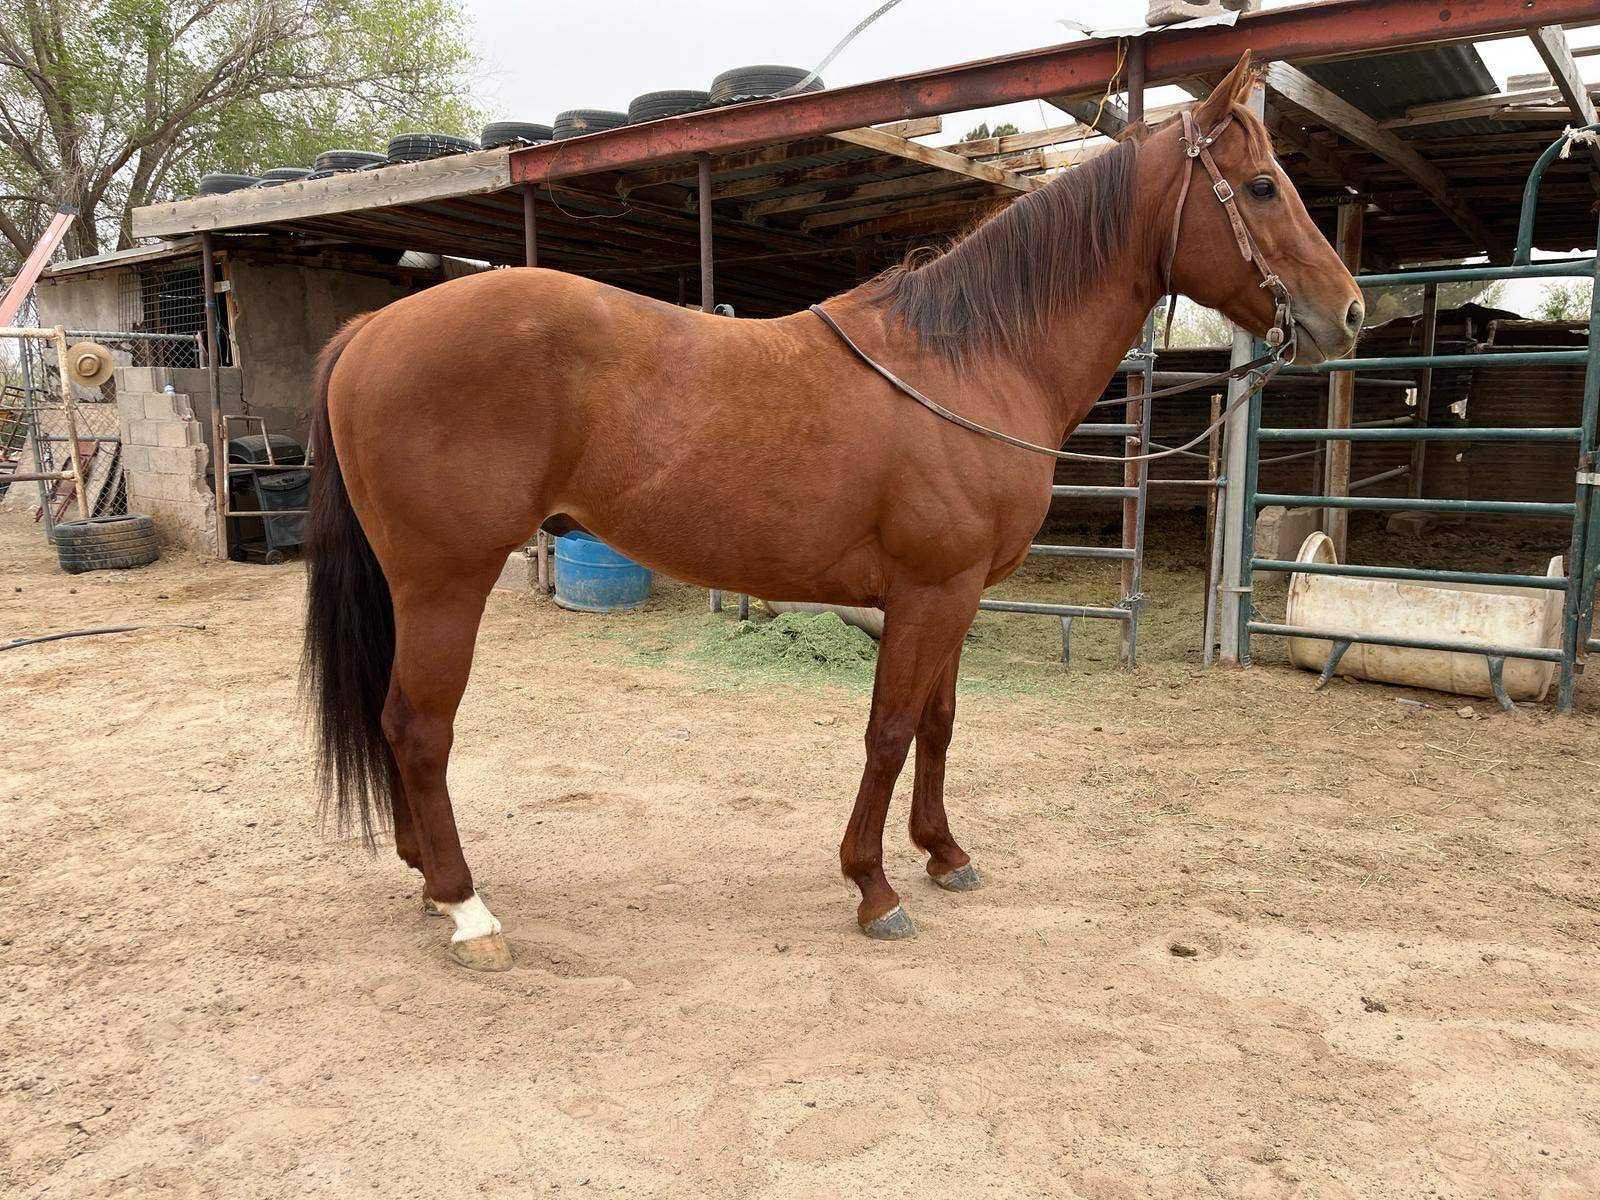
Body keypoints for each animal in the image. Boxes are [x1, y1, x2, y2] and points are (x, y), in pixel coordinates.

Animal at [302, 53, 1362, 970]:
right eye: (1261, 186)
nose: (1348, 313)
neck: (969, 360)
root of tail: (373, 329)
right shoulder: (929, 593)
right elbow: (888, 731)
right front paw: (874, 887)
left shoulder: (960, 597)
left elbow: (939, 725)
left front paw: (944, 854)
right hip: (446, 579)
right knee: (419, 726)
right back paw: (467, 906)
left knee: (396, 720)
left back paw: (427, 880)